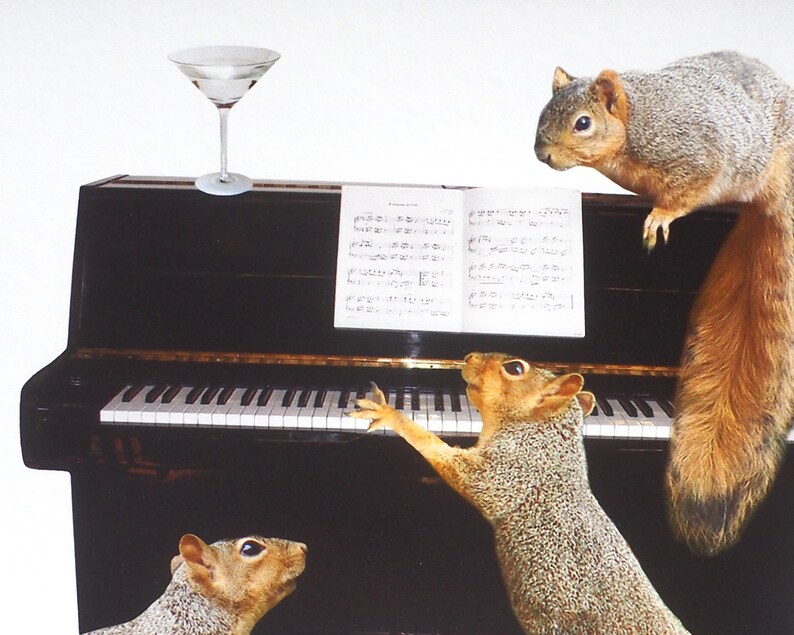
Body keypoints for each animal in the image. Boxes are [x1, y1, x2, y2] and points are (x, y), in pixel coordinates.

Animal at [349, 352, 689, 634]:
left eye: (514, 368)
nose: (468, 356)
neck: (543, 435)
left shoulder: (509, 472)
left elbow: (434, 446)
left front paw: (389, 413)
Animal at [534, 50, 794, 556]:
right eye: (542, 113)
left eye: (582, 123)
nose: (541, 154)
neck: (634, 125)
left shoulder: (696, 155)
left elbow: (689, 191)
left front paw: (660, 217)